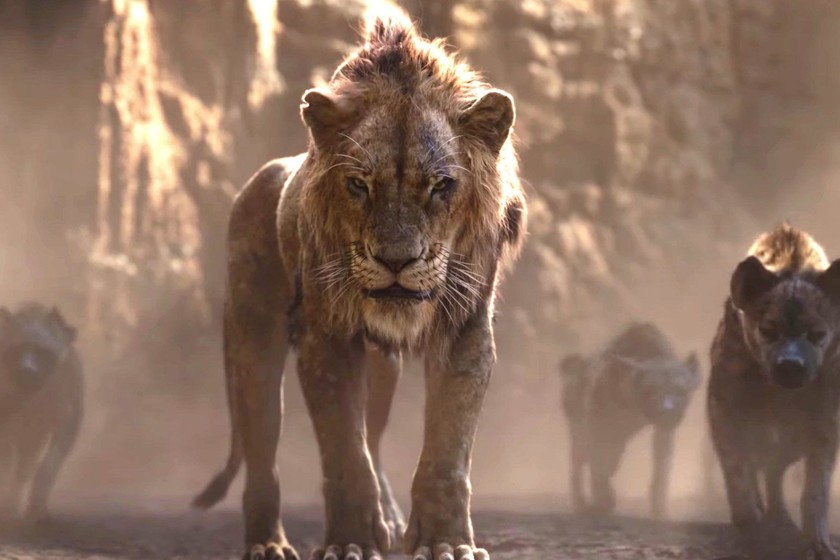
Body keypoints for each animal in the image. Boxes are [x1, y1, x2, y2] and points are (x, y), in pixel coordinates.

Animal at [0, 303, 82, 523]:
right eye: (16, 350)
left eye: (43, 352)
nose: (27, 371)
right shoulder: (8, 426)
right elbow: (7, 465)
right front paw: (8, 505)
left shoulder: (66, 422)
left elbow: (48, 466)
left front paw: (37, 509)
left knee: (26, 467)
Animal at [192, 8, 526, 560]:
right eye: (358, 185)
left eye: (441, 186)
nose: (396, 260)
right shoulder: (326, 336)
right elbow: (344, 451)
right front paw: (349, 542)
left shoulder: (466, 331)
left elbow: (446, 450)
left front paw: (444, 542)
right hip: (252, 341)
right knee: (263, 452)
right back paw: (267, 543)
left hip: (382, 368)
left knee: (373, 434)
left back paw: (388, 517)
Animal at [708, 224, 840, 560]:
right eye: (768, 330)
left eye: (817, 334)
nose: (791, 365)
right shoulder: (726, 404)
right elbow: (736, 467)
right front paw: (749, 526)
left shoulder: (825, 417)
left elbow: (816, 488)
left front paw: (818, 545)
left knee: (774, 469)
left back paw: (781, 518)